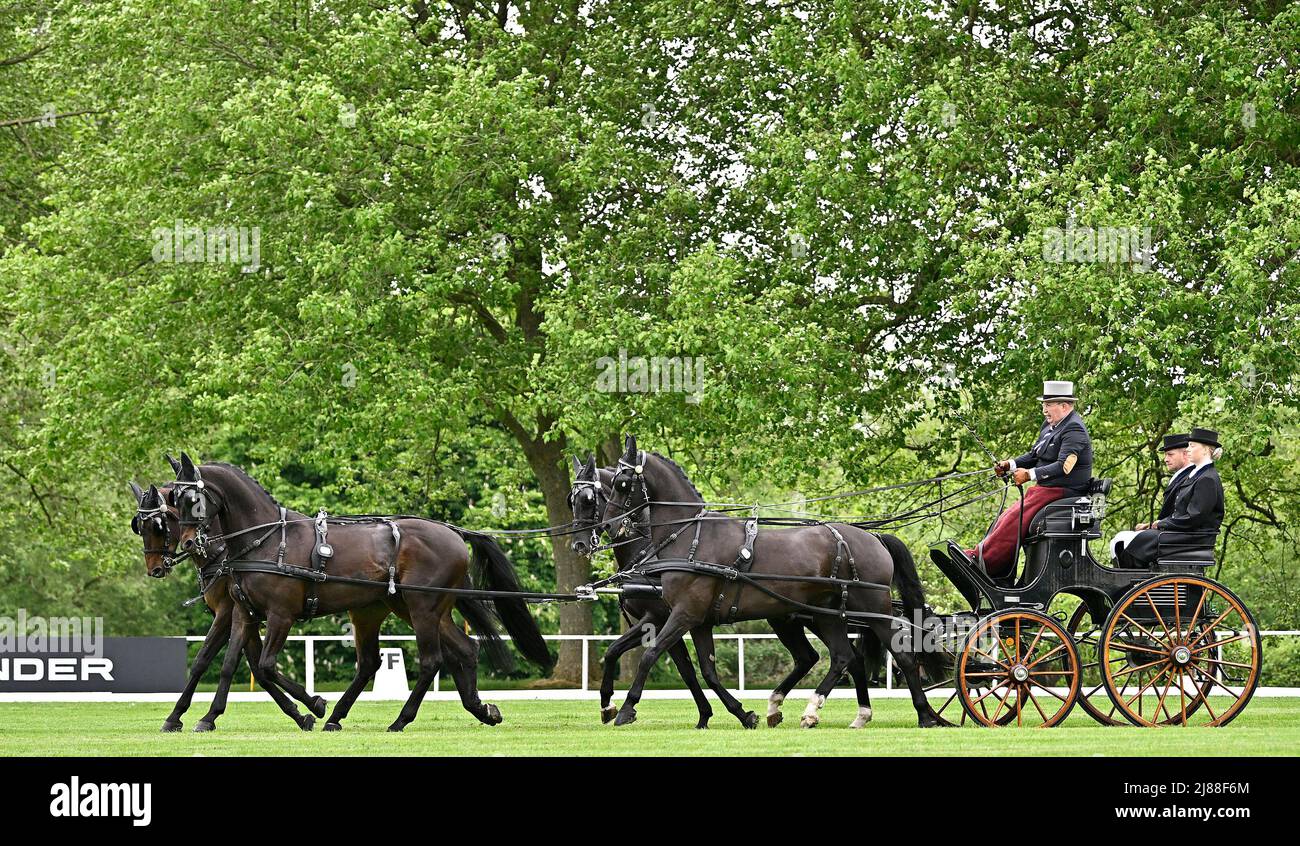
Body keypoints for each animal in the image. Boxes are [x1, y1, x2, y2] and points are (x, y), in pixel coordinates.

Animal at [165, 453, 552, 731]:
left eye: (191, 500)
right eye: (171, 502)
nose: (188, 544)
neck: (267, 540)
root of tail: (453, 531)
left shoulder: (280, 615)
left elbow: (266, 665)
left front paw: (314, 705)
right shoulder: (245, 613)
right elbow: (238, 666)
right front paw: (205, 717)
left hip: (422, 609)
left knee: (432, 660)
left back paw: (398, 720)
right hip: (404, 608)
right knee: (460, 650)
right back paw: (480, 709)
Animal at [596, 436, 944, 728]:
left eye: (622, 483)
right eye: (608, 487)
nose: (609, 527)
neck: (692, 537)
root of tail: (873, 537)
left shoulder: (683, 614)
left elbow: (651, 655)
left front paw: (625, 709)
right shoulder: (698, 620)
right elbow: (706, 669)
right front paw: (742, 714)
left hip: (873, 610)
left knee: (901, 656)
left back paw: (925, 714)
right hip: (826, 614)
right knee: (843, 657)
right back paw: (824, 712)